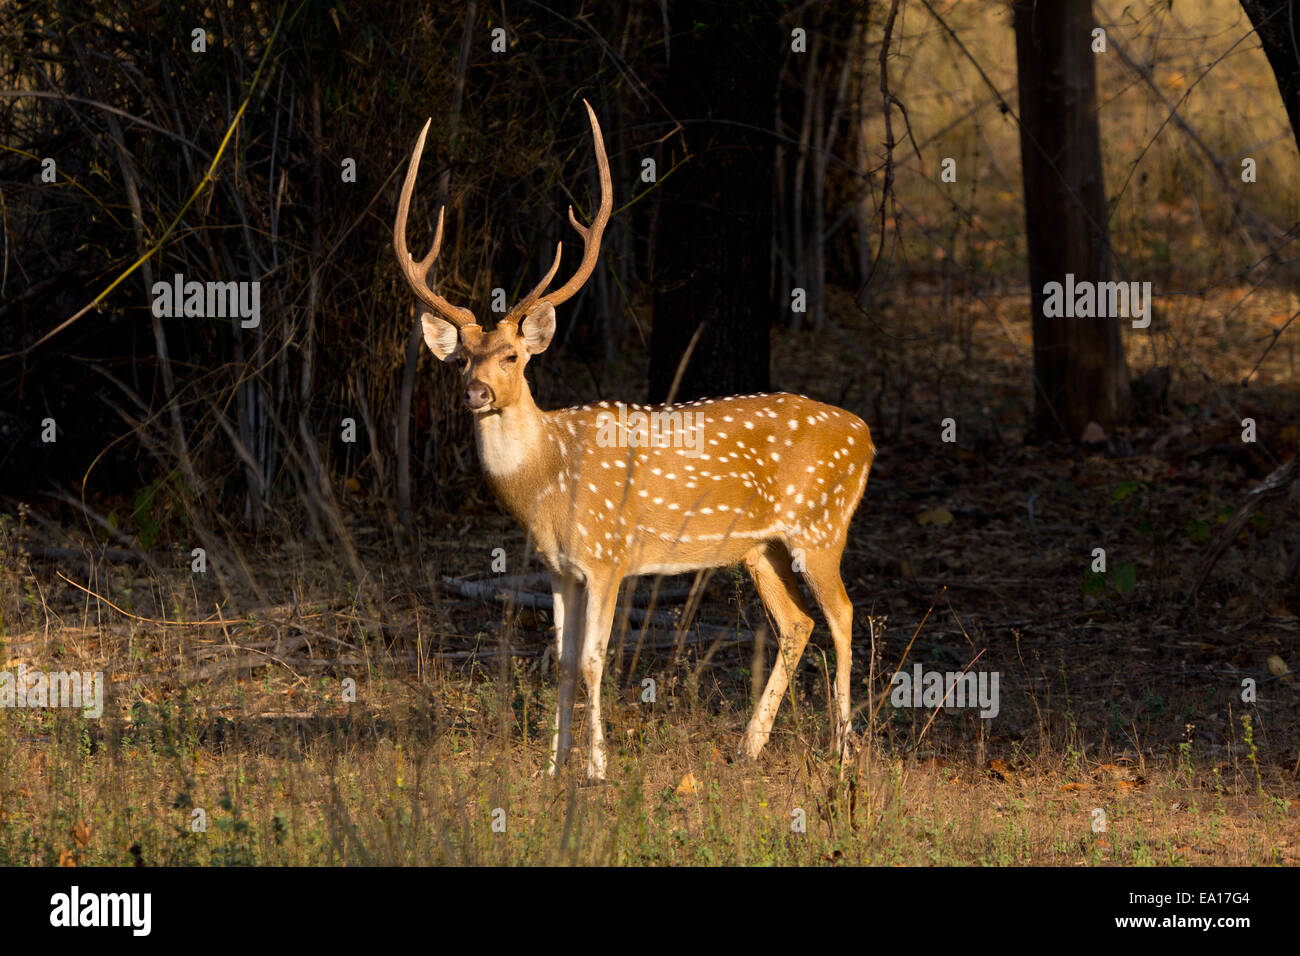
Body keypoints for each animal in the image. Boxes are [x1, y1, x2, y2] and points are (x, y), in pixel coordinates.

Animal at [395, 100, 874, 781]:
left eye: (512, 356)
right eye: (461, 360)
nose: (477, 393)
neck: (548, 478)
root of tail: (866, 434)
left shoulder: (608, 555)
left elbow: (596, 659)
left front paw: (596, 769)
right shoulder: (560, 569)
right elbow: (562, 661)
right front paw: (553, 767)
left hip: (822, 524)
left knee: (843, 614)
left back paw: (842, 754)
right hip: (760, 546)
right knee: (797, 622)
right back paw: (747, 748)